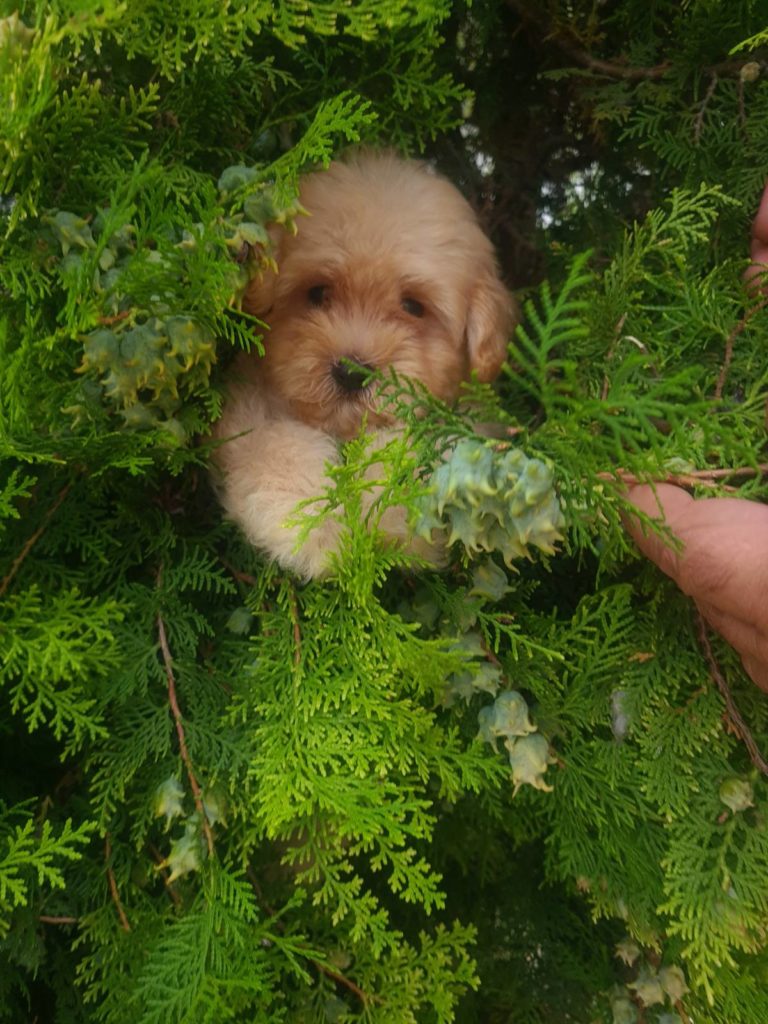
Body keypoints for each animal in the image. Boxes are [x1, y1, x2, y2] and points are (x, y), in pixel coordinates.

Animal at [210, 153, 518, 585]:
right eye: (318, 293)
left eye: (413, 306)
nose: (352, 372)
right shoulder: (250, 408)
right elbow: (276, 447)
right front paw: (315, 526)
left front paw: (380, 519)